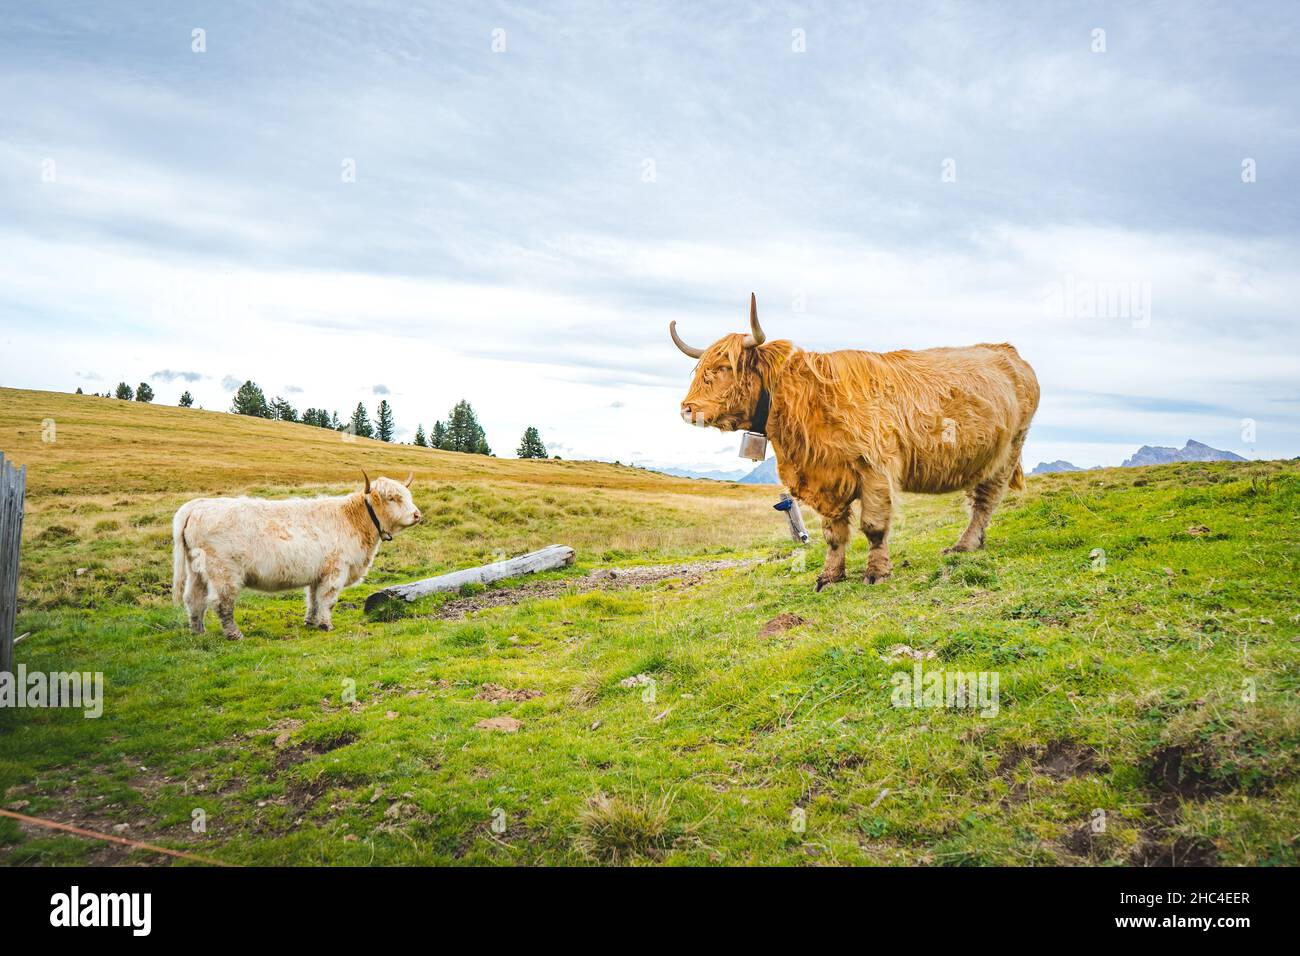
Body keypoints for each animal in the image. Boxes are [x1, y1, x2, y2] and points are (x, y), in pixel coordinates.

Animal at [171, 471, 421, 639]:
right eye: (392, 498)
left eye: (407, 495)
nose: (417, 514)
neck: (354, 520)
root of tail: (198, 505)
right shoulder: (335, 570)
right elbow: (328, 600)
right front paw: (326, 625)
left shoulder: (318, 573)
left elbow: (313, 599)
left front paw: (311, 622)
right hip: (224, 572)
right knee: (221, 603)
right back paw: (234, 635)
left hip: (196, 571)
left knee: (194, 599)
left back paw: (198, 631)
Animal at [671, 294, 1039, 591]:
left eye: (724, 367)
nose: (686, 409)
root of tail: (1007, 352)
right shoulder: (826, 480)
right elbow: (834, 535)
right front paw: (829, 576)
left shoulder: (875, 468)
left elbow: (873, 526)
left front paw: (877, 573)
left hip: (1007, 452)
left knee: (985, 502)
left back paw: (964, 545)